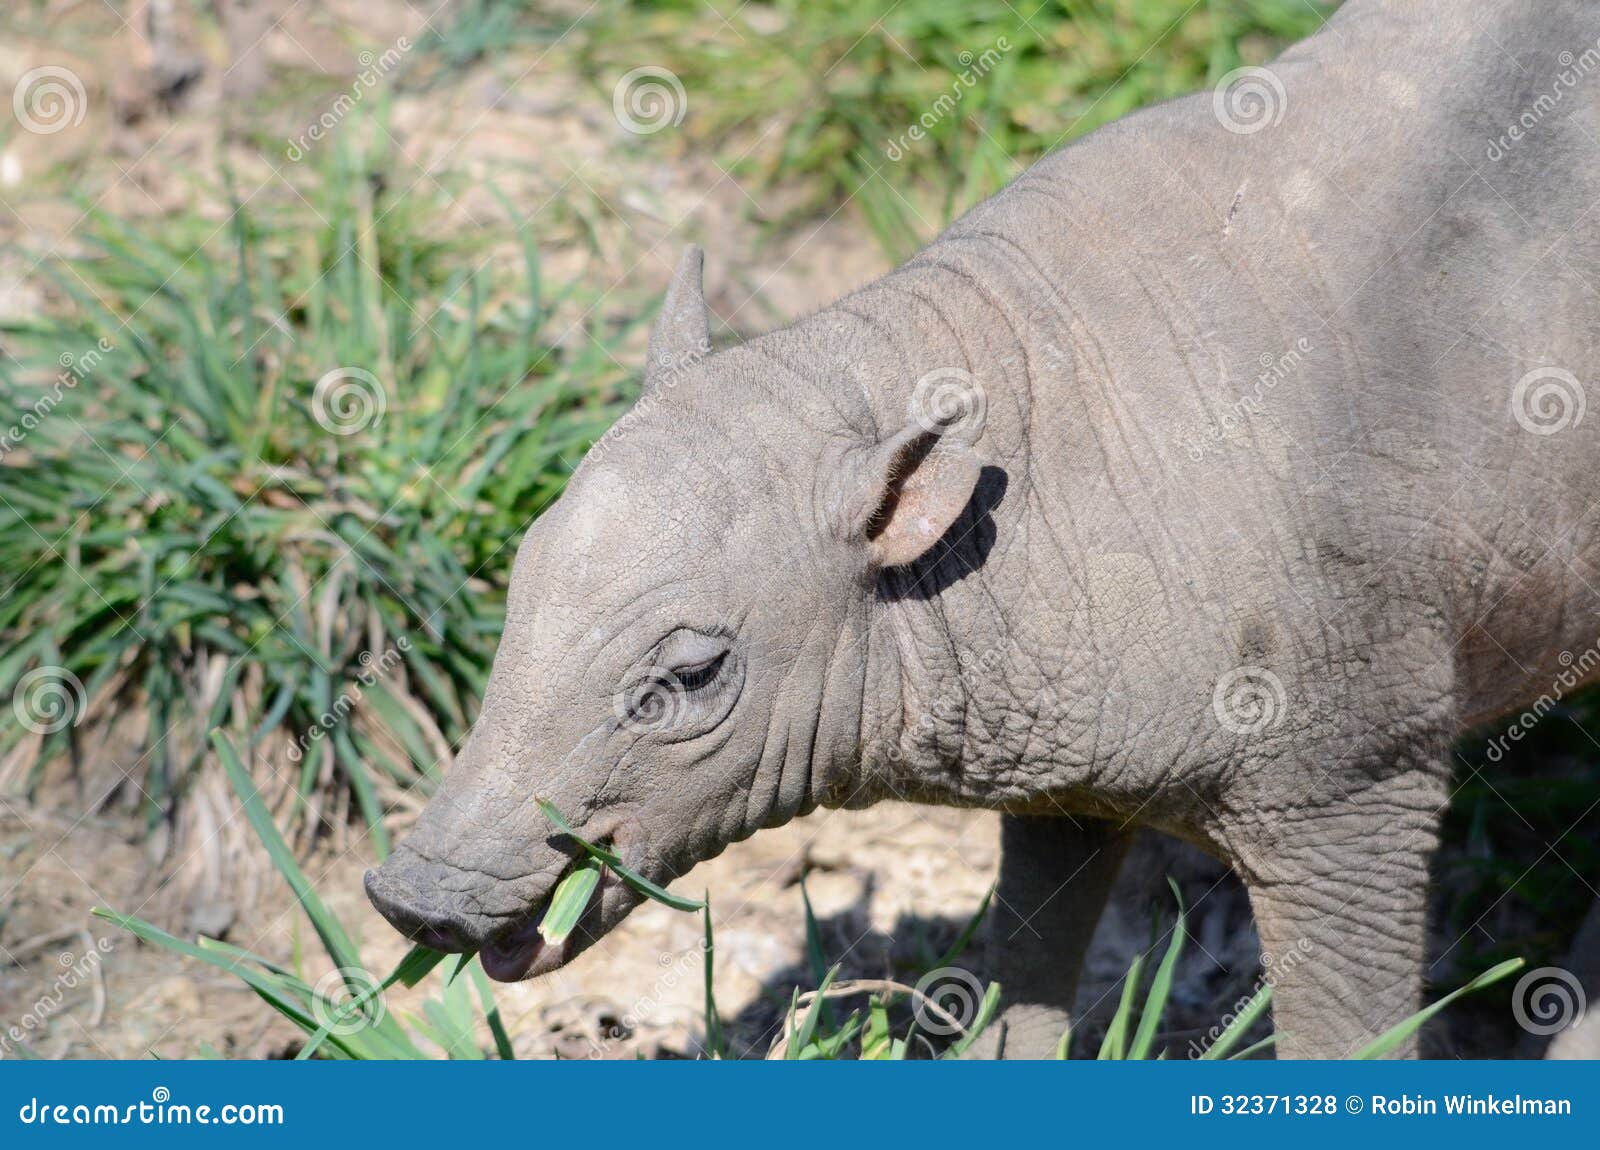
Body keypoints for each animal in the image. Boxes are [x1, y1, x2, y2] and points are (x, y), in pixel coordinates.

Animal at [367, 0, 1600, 1057]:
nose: (416, 898)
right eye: (515, 591)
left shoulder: (1359, 780)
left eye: (694, 673)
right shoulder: (1063, 790)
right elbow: (1025, 983)